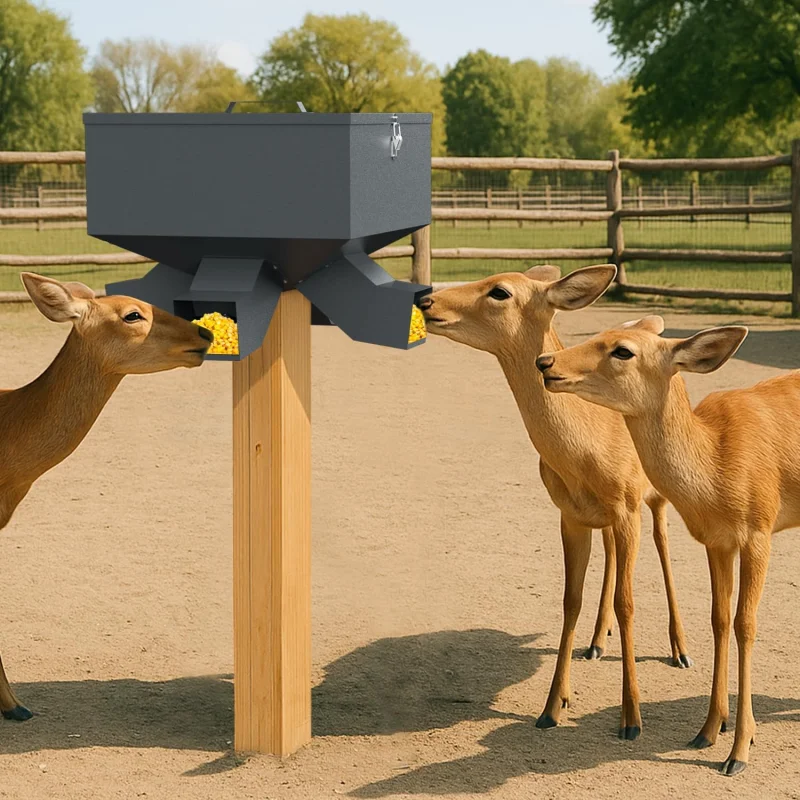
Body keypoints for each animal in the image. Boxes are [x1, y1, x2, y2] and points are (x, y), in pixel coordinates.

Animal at [419, 264, 691, 740]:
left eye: (499, 291)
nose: (425, 299)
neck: (585, 452)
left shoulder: (627, 504)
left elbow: (627, 602)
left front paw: (631, 719)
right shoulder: (570, 513)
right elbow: (570, 600)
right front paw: (551, 707)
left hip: (656, 494)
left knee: (662, 545)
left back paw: (680, 649)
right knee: (612, 555)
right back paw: (596, 643)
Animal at [535, 303, 788, 776]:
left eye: (622, 349)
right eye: (597, 332)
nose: (545, 362)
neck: (718, 461)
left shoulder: (759, 529)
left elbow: (745, 624)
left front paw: (739, 751)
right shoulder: (718, 539)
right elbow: (719, 618)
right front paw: (708, 731)